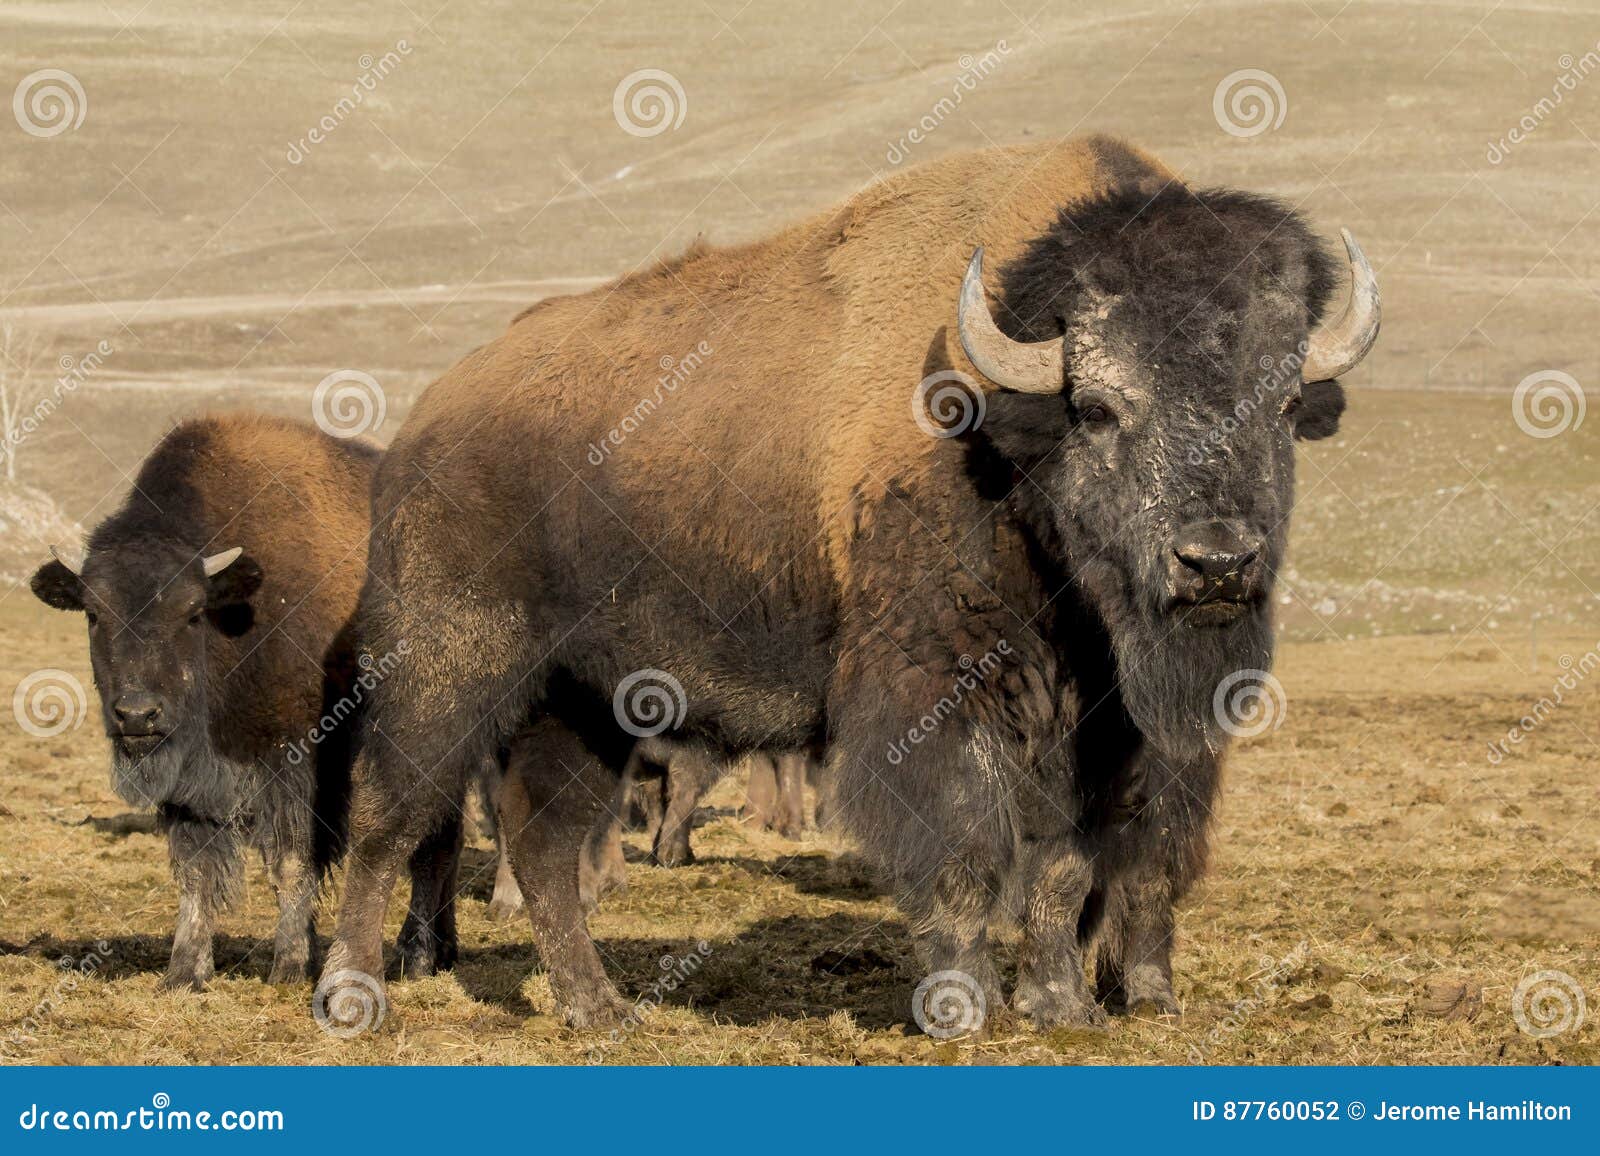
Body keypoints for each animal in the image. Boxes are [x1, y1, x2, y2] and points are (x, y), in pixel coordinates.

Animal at [321, 136, 1378, 1029]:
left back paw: (600, 1010)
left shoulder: (1102, 733)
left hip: (582, 702)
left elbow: (1065, 869)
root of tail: (428, 424)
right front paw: (965, 1009)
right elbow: (965, 850)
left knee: (544, 841)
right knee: (389, 815)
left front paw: (1061, 1009)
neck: (1008, 439)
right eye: (1103, 408)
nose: (1217, 562)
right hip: (450, 668)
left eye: (1286, 405)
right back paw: (351, 999)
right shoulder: (941, 694)